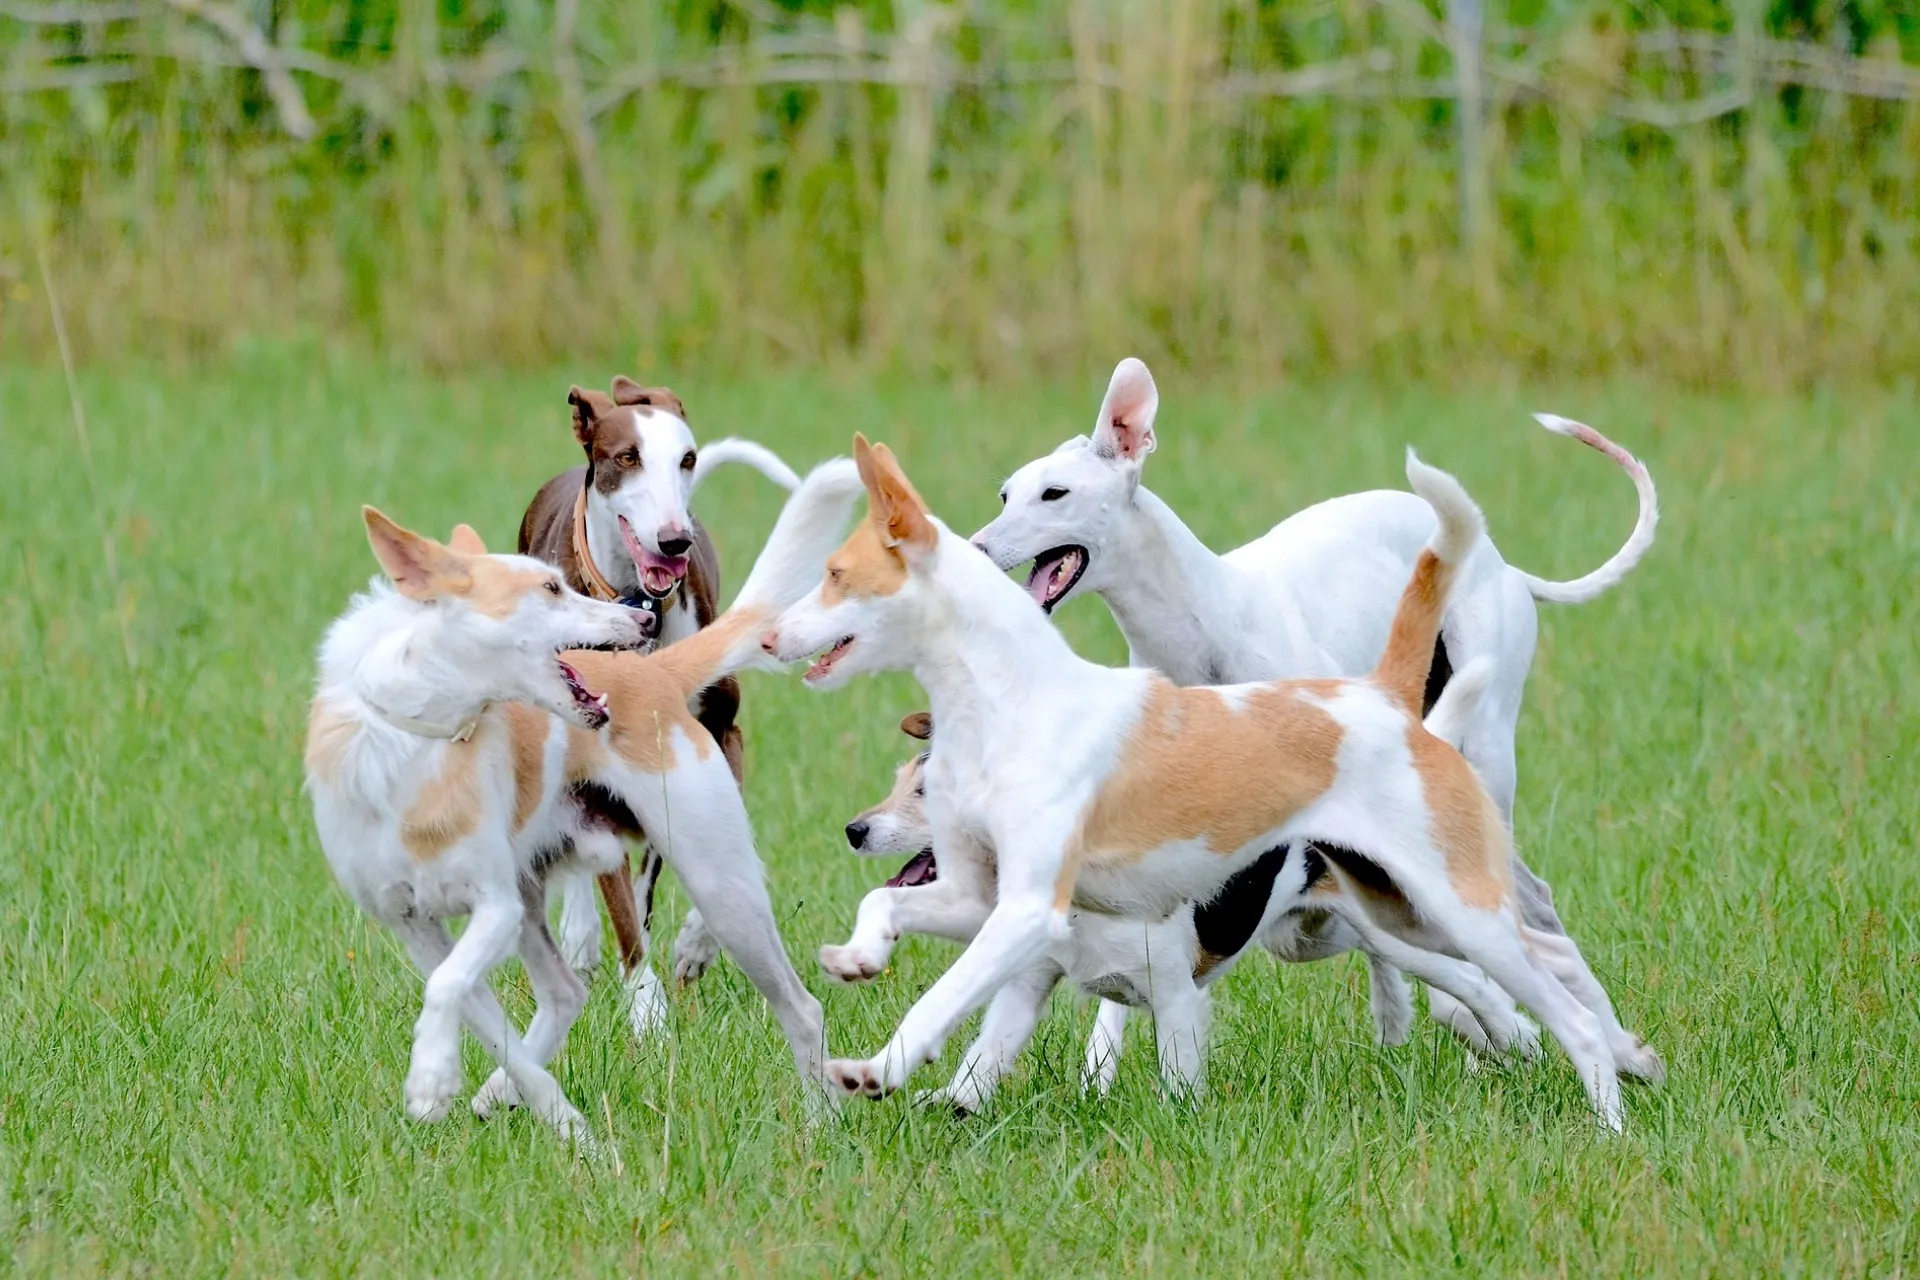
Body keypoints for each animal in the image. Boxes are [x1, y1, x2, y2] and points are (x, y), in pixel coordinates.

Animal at [305, 460, 864, 1143]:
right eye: (551, 588)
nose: (641, 618)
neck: (421, 737)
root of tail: (654, 673)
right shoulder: (413, 922)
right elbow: (475, 1008)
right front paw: (515, 1101)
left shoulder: (494, 905)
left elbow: (447, 988)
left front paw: (431, 1080)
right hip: (539, 894)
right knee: (564, 993)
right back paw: (524, 1104)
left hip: (717, 881)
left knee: (800, 1006)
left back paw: (821, 1126)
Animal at [514, 378, 798, 1020]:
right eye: (627, 458)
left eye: (686, 459)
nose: (675, 540)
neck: (637, 606)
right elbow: (622, 904)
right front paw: (646, 1009)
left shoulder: (717, 734)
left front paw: (696, 945)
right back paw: (580, 938)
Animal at [764, 433, 1651, 1128]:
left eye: (836, 574)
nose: (767, 636)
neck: (1012, 695)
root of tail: (1385, 699)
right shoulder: (977, 896)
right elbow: (891, 911)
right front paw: (859, 959)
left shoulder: (1026, 914)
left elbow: (944, 999)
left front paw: (876, 1069)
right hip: (1403, 909)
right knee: (1546, 953)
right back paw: (1630, 1057)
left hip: (1450, 899)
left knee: (1552, 992)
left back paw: (1606, 1110)